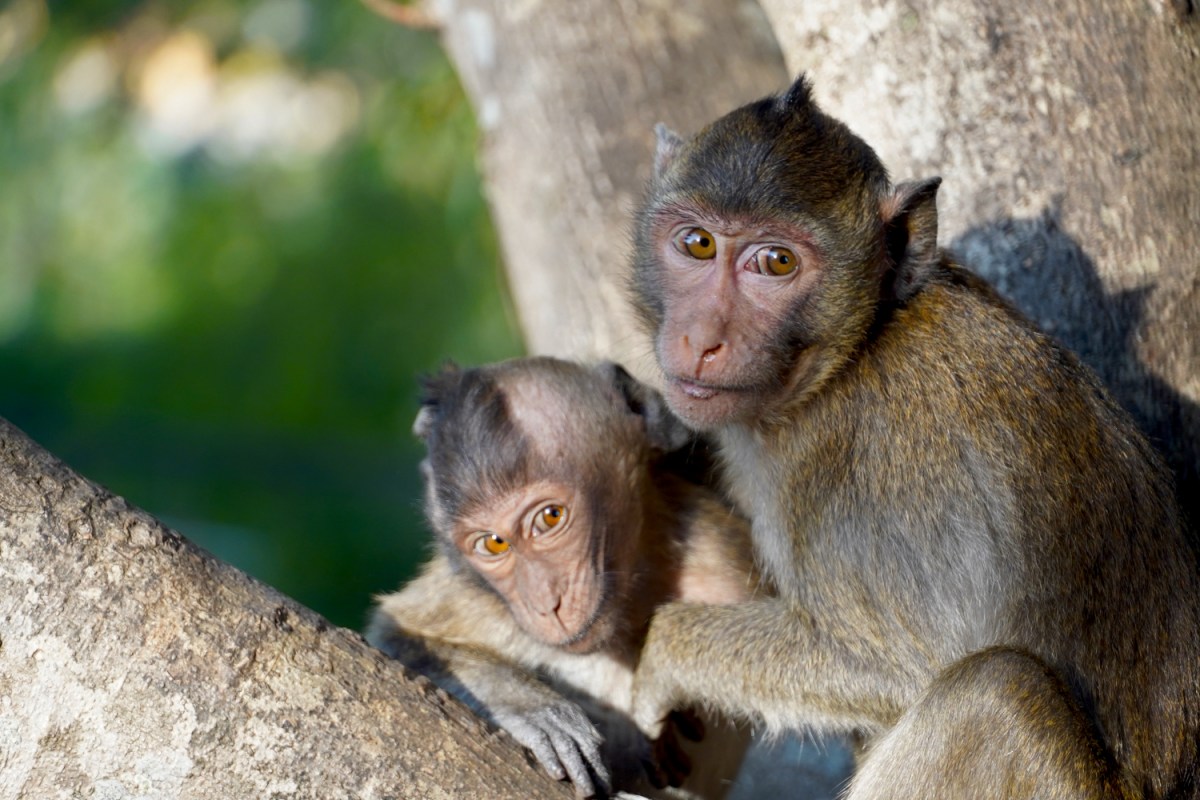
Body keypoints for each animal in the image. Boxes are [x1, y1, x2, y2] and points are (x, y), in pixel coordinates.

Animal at [366, 357, 761, 799]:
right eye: (494, 543)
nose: (544, 603)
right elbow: (397, 636)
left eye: (550, 517)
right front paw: (530, 708)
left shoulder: (722, 565)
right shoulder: (484, 597)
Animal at [625, 74, 1200, 799]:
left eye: (776, 262)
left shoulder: (853, 475)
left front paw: (660, 658)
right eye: (698, 244)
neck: (852, 355)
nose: (702, 338)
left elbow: (891, 669)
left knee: (994, 692)